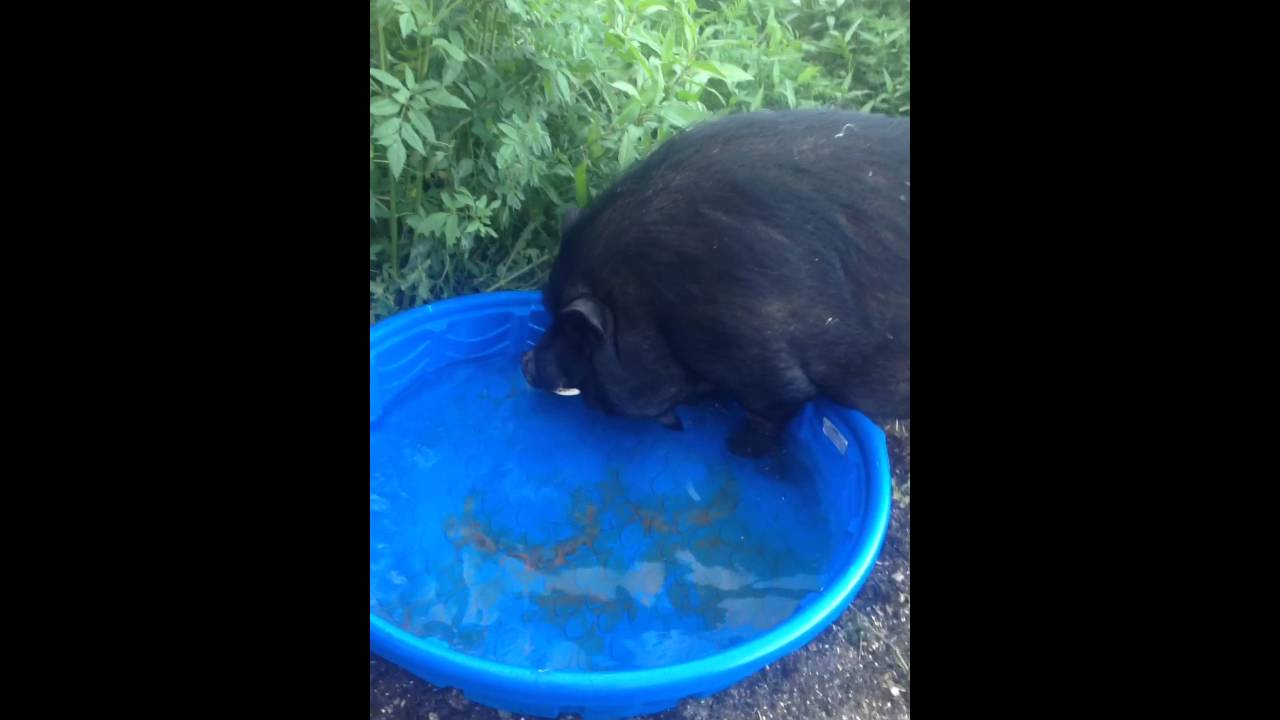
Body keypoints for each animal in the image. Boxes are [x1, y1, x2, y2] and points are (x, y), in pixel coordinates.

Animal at [521, 109, 909, 458]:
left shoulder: (760, 360)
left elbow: (778, 405)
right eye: (547, 305)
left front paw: (737, 449)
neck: (655, 305)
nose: (526, 365)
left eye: (578, 332)